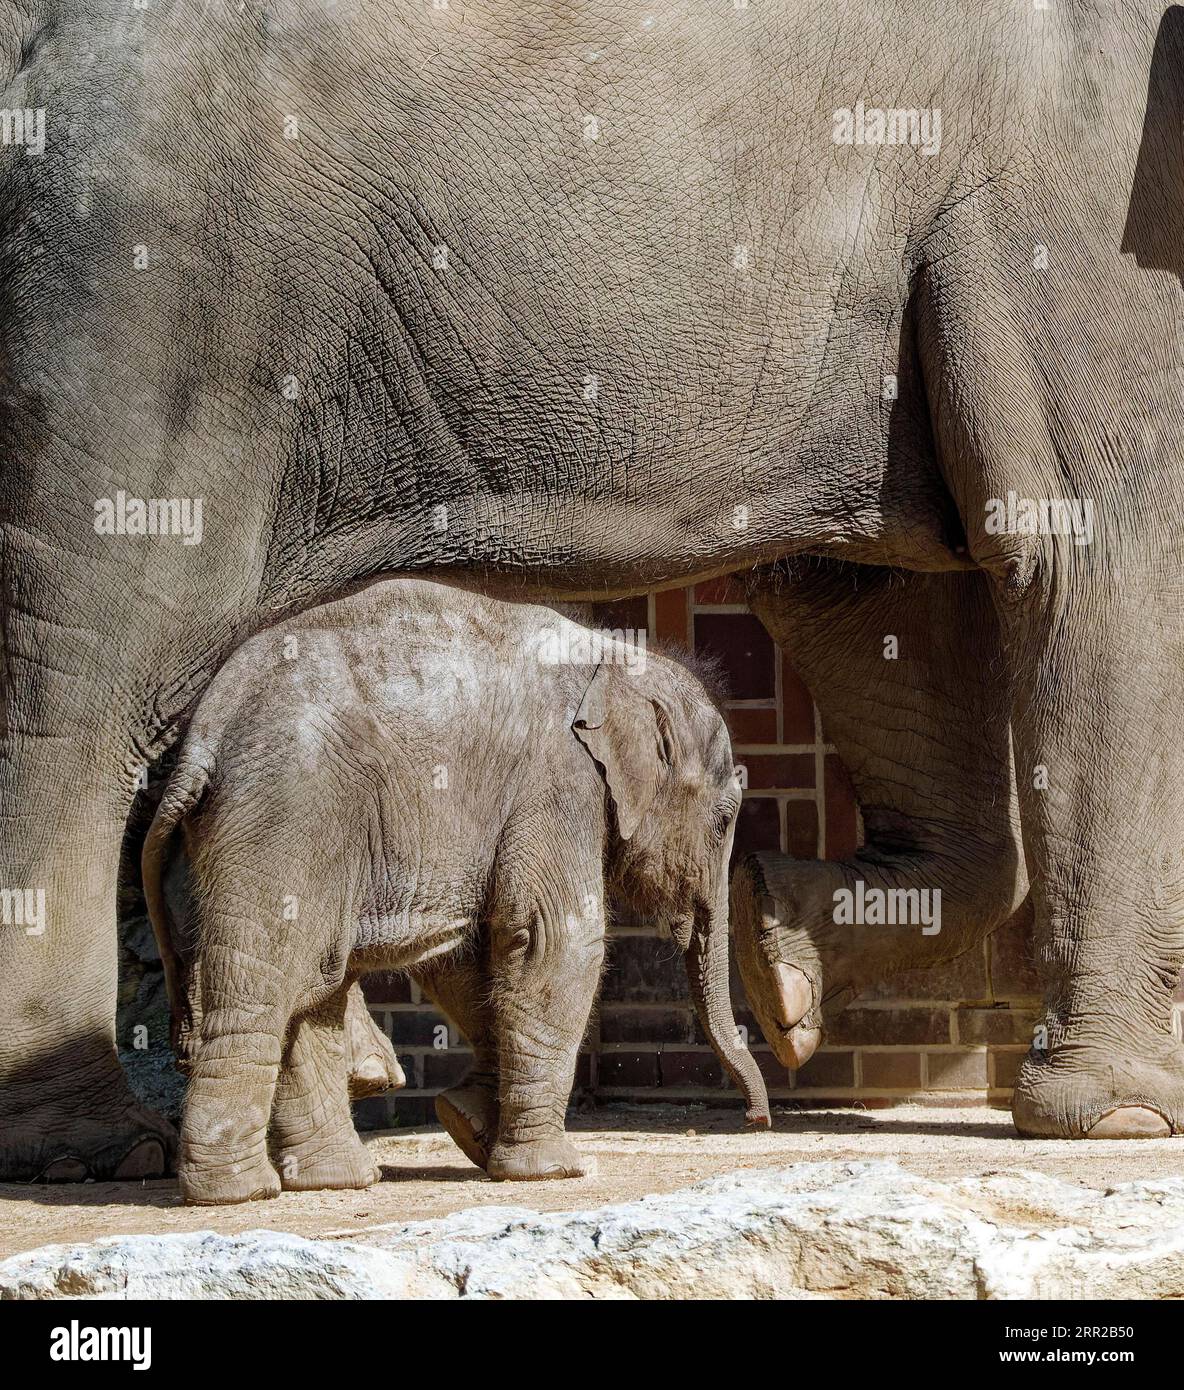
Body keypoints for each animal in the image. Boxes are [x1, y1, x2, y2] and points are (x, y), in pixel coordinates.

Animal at [141, 578, 769, 1203]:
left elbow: (468, 952)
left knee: (315, 980)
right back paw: (239, 1192)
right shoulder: (559, 782)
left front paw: (469, 1125)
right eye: (723, 822)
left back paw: (337, 1180)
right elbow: (554, 939)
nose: (755, 1120)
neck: (618, 660)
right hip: (286, 819)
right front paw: (554, 1169)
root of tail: (202, 740)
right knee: (268, 975)